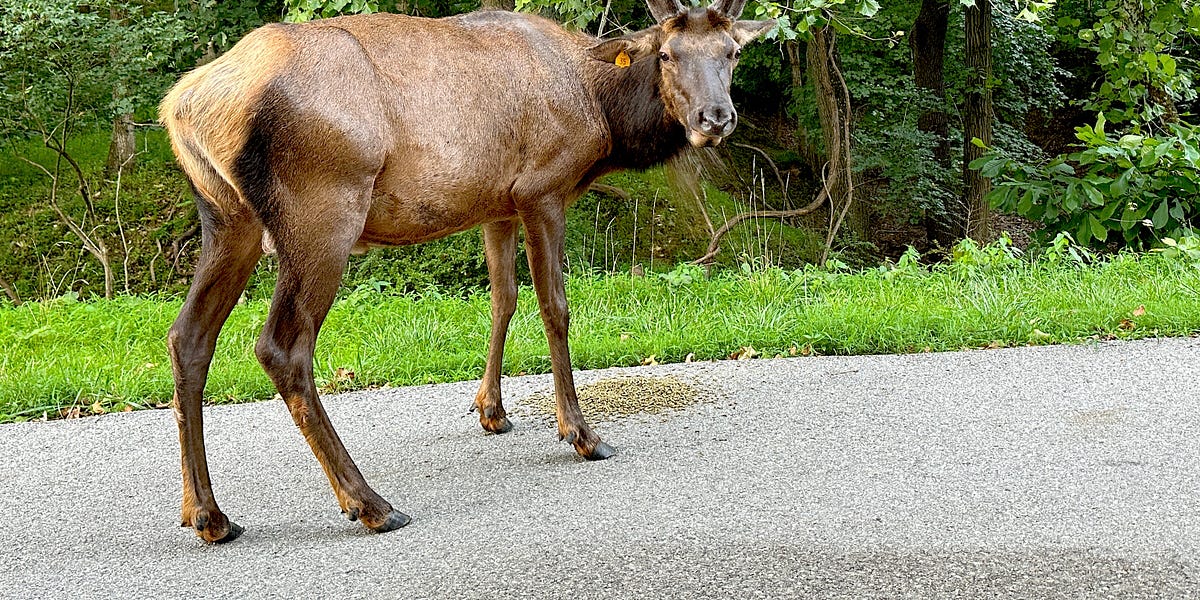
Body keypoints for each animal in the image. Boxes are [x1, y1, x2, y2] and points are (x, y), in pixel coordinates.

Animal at [160, 0, 774, 543]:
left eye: (732, 52)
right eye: (667, 54)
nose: (716, 118)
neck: (601, 116)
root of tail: (184, 106)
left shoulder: (498, 204)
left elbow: (504, 297)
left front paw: (492, 410)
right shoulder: (542, 188)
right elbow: (554, 306)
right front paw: (580, 433)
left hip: (228, 218)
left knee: (187, 335)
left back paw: (208, 516)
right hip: (322, 210)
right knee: (281, 347)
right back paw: (371, 504)